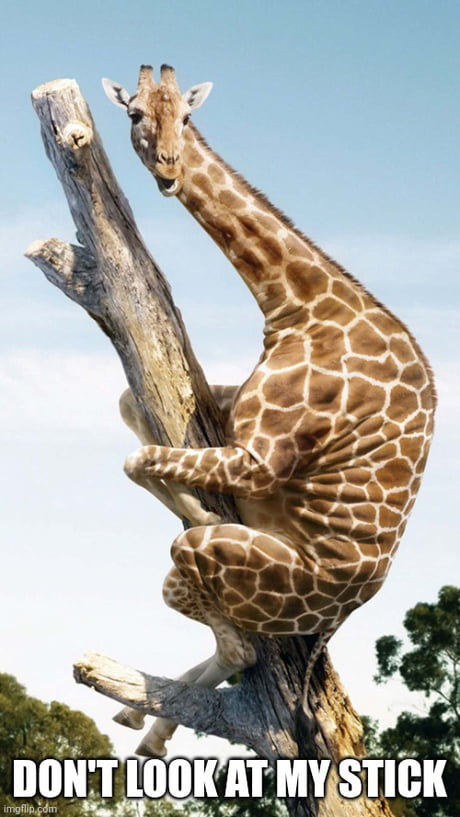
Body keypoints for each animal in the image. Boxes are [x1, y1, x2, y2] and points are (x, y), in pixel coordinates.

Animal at [102, 65, 436, 757]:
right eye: (135, 113)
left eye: (187, 117)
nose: (169, 170)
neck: (299, 304)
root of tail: (340, 614)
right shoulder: (229, 417)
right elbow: (130, 414)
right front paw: (190, 497)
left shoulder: (260, 460)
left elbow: (137, 459)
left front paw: (200, 505)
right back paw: (139, 724)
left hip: (224, 567)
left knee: (237, 645)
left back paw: (148, 726)